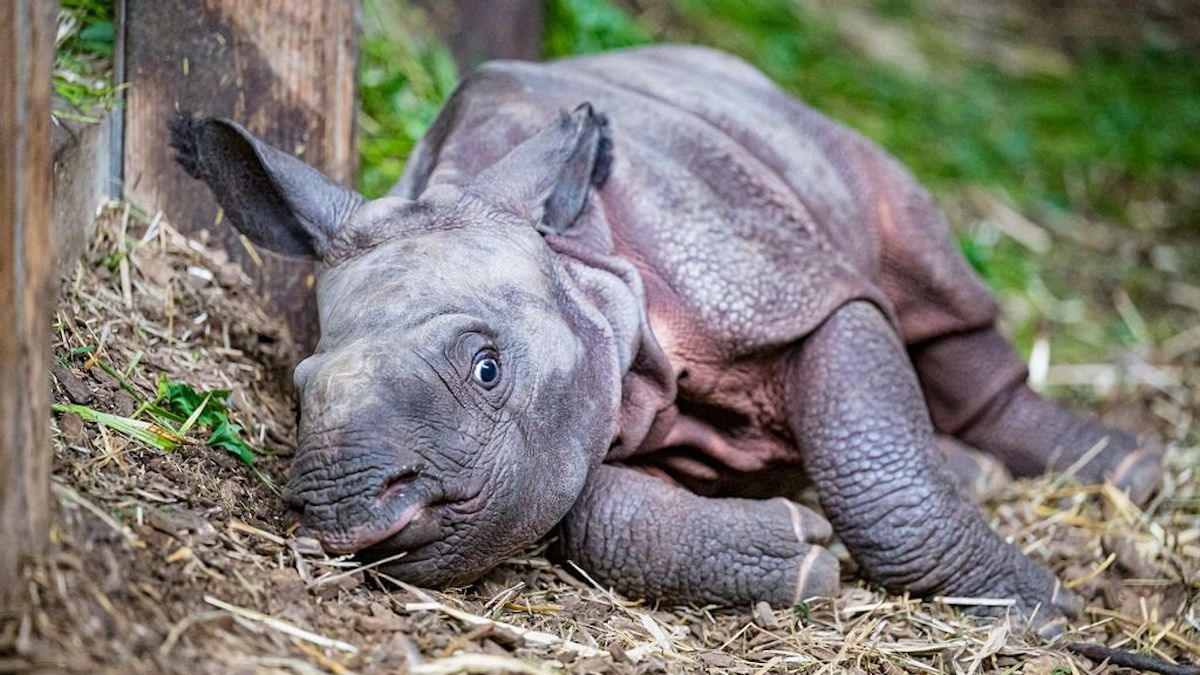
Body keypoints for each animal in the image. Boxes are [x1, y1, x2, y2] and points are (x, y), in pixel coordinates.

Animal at [171, 45, 1162, 629]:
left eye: (487, 369)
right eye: (300, 386)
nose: (344, 510)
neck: (584, 262)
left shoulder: (786, 288)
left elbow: (881, 461)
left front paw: (1045, 608)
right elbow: (584, 507)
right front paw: (799, 553)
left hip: (807, 140)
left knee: (927, 279)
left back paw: (1131, 473)